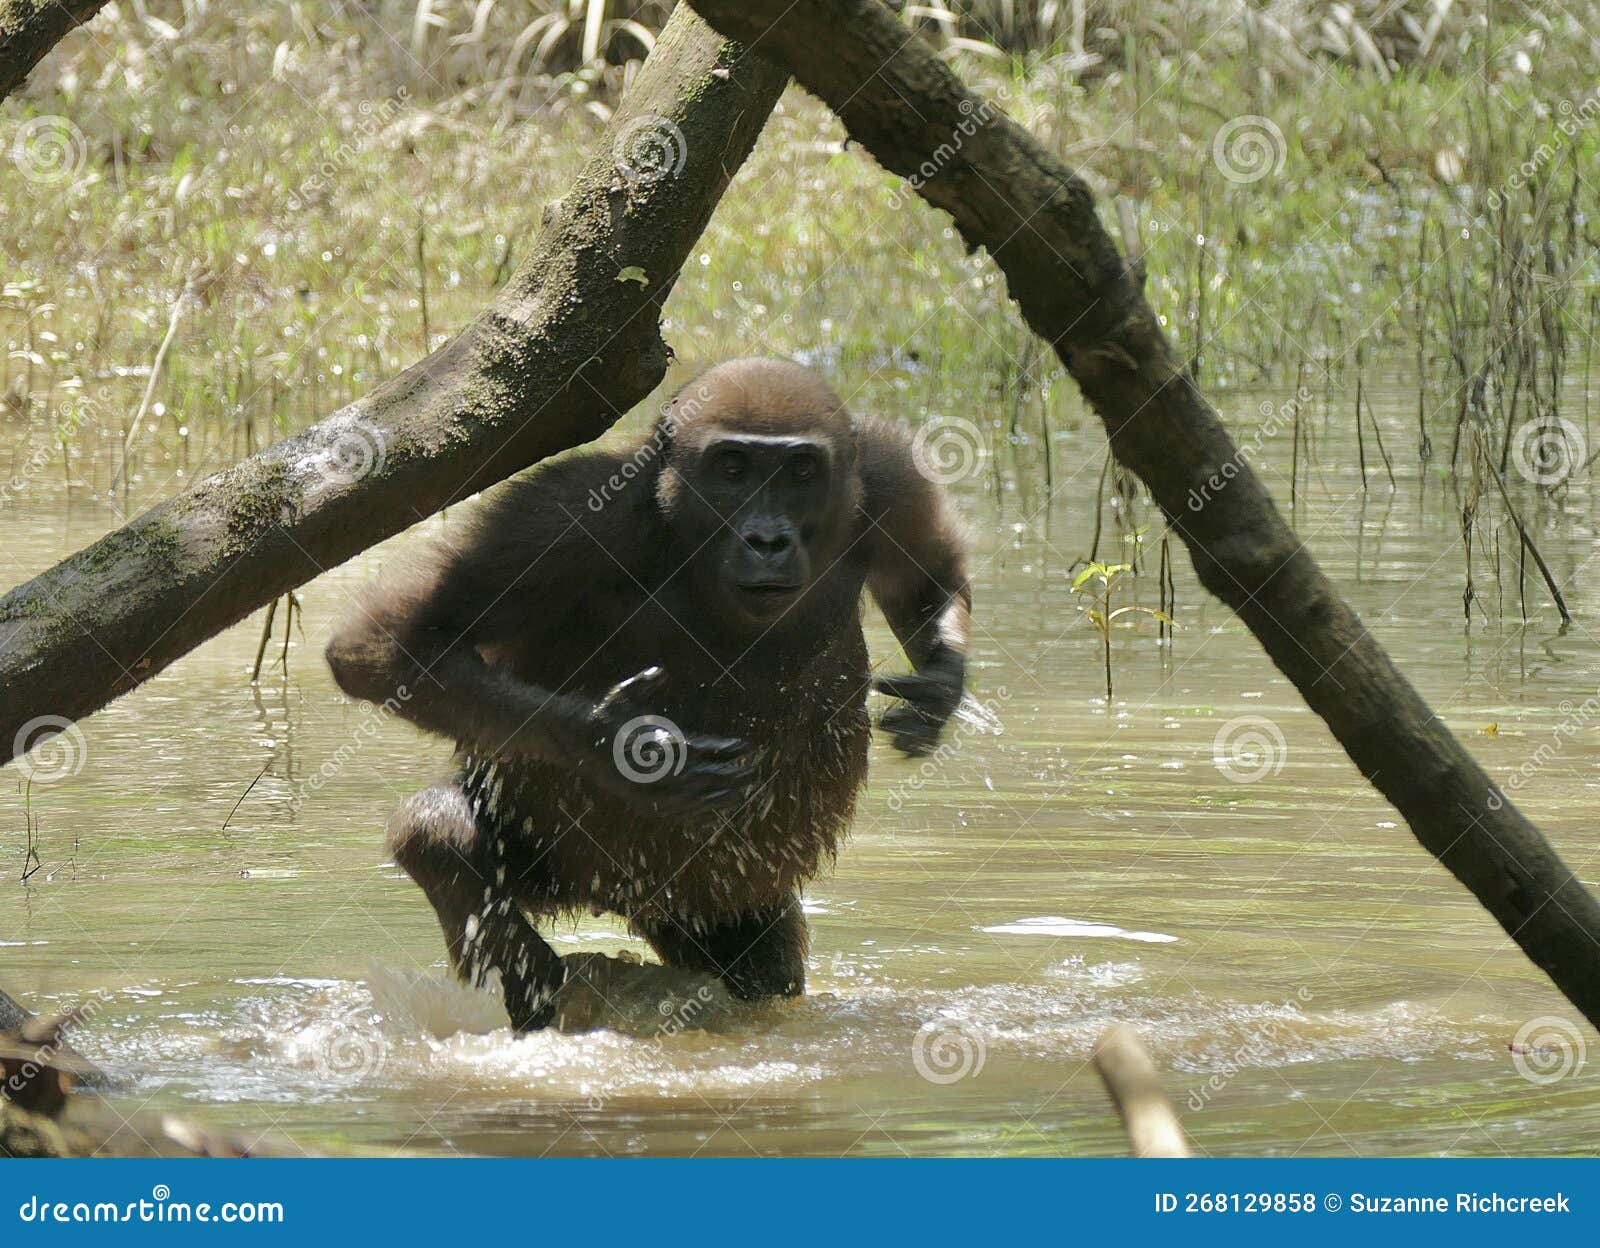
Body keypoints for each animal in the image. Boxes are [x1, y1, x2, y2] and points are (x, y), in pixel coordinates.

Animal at [325, 357, 972, 1031]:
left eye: (800, 471)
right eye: (732, 468)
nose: (767, 540)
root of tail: (617, 904)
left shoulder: (885, 471)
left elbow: (928, 575)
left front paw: (941, 679)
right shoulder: (563, 513)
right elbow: (389, 646)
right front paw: (618, 747)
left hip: (713, 912)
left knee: (760, 965)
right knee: (436, 836)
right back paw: (537, 993)